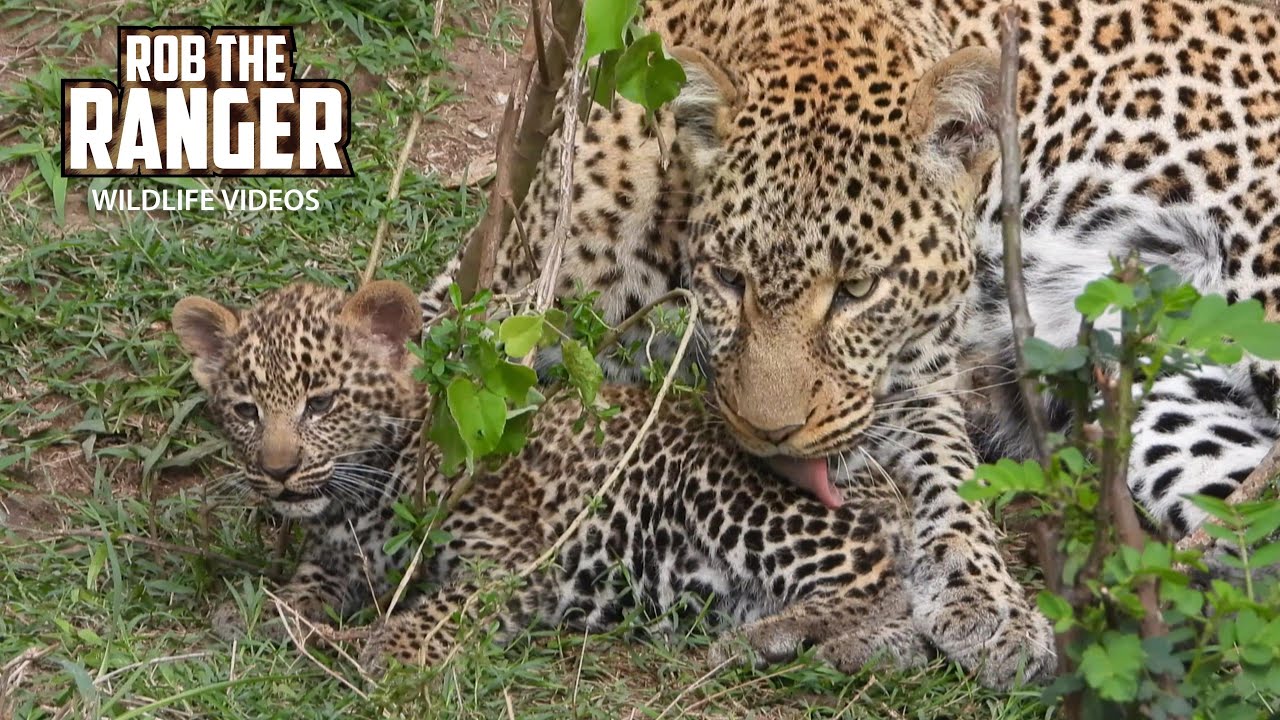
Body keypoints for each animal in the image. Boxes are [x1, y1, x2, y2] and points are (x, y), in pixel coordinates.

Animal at [171, 280, 1055, 689]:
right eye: (246, 411)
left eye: (321, 403)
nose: (277, 469)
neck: (362, 500)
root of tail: (870, 477)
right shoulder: (339, 555)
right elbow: (306, 587)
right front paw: (258, 613)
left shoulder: (516, 557)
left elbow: (446, 605)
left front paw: (394, 646)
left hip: (729, 497)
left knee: (881, 577)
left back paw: (773, 639)